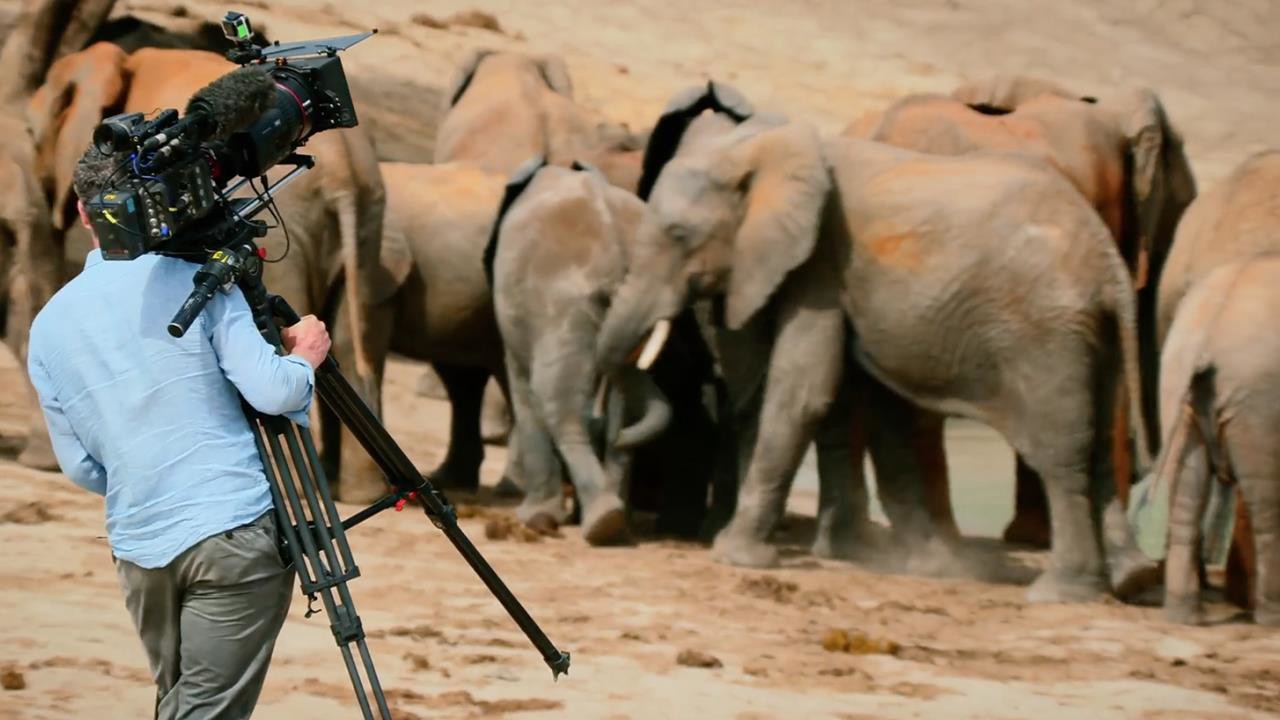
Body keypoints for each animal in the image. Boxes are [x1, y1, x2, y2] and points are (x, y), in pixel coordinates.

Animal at [487, 158, 673, 544]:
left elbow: (523, 387)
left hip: (561, 305)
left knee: (557, 401)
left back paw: (597, 521)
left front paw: (536, 517)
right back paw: (613, 522)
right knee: (619, 403)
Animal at [595, 112, 1157, 602]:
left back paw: (1061, 592)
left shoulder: (819, 263)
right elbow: (866, 406)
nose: (613, 437)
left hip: (1048, 335)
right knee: (1099, 445)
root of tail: (1110, 262)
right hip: (1093, 336)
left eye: (678, 236)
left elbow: (804, 393)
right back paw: (1125, 582)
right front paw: (905, 562)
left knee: (1061, 452)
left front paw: (735, 557)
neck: (763, 148)